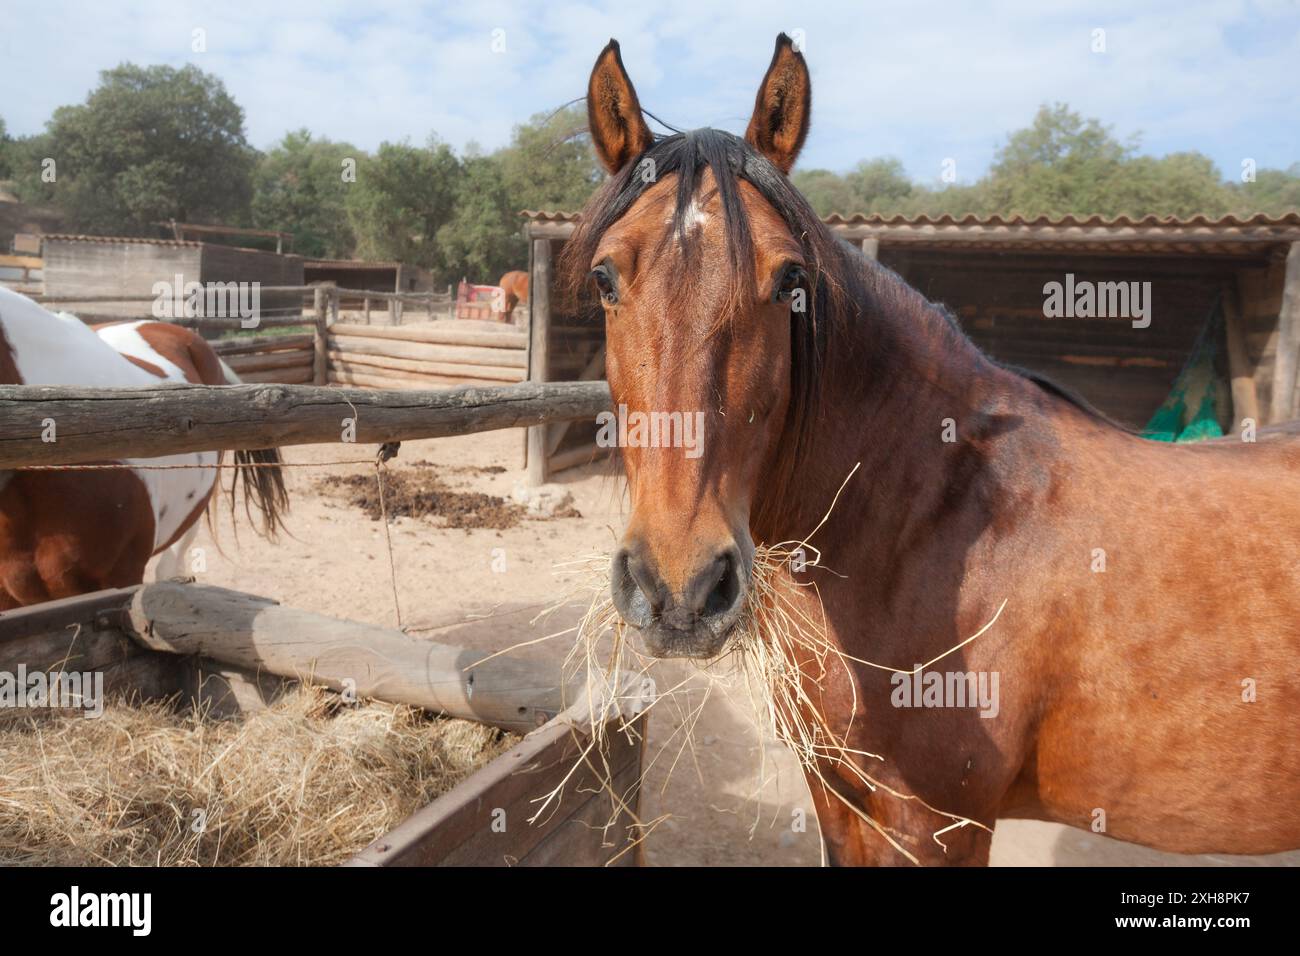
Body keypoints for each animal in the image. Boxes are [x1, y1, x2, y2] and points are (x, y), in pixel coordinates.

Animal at [571, 35, 1300, 865]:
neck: (925, 521)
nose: (681, 589)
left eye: (789, 280)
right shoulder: (839, 798)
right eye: (605, 277)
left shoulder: (938, 826)